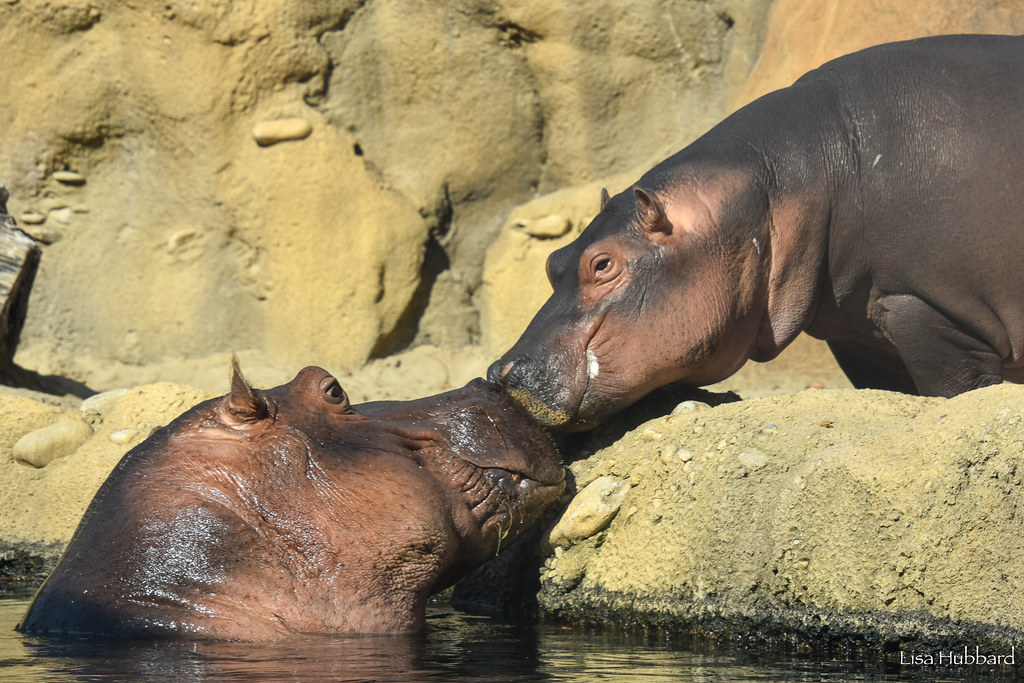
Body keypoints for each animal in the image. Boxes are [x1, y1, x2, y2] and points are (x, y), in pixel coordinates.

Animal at [489, 34, 1024, 430]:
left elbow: (958, 392)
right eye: (553, 261)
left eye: (602, 264)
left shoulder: (926, 313)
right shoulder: (860, 332)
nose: (499, 372)